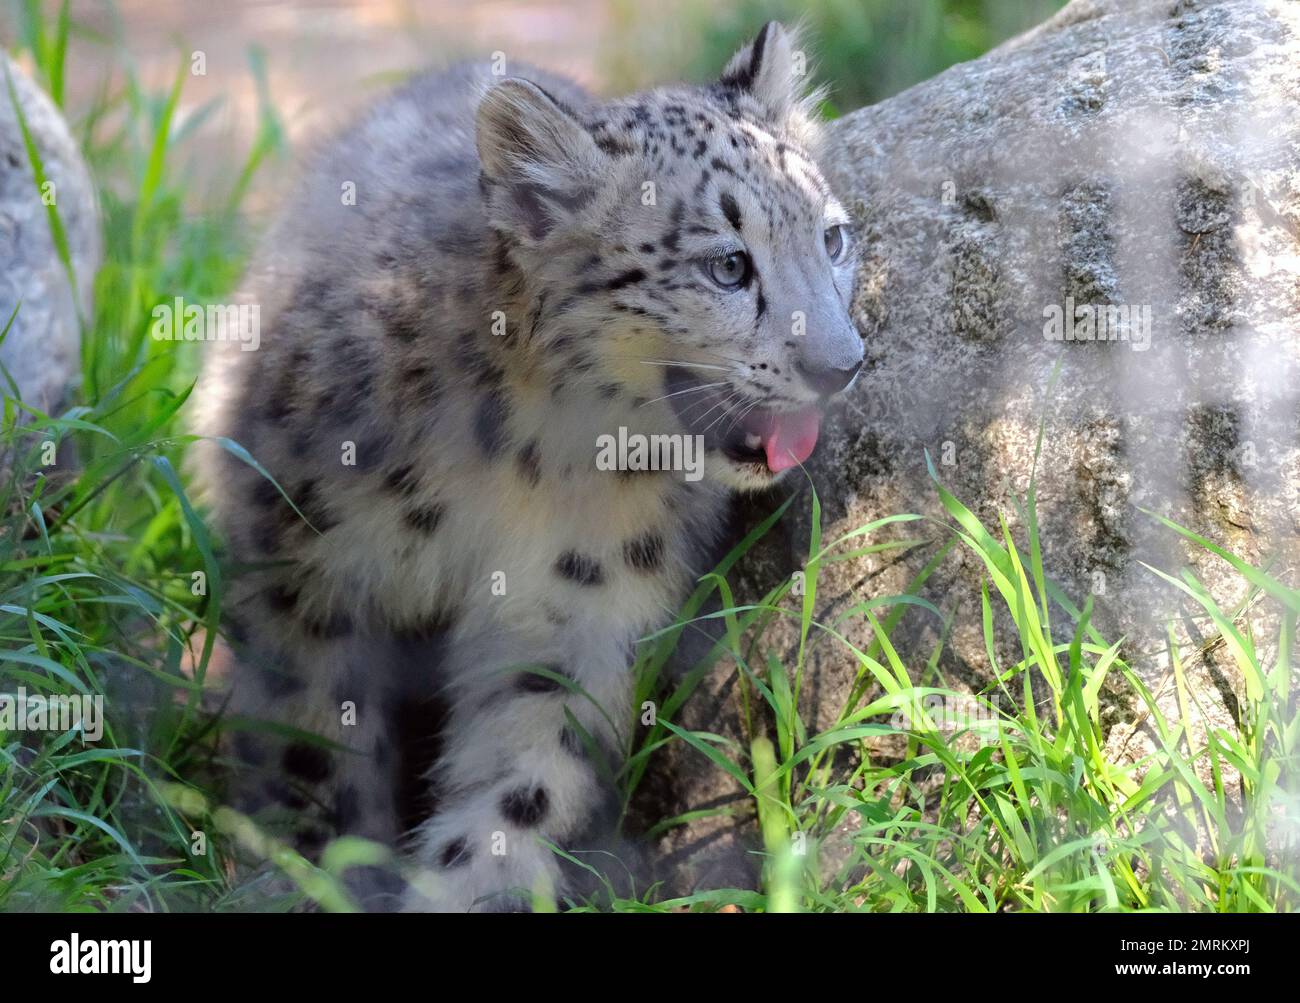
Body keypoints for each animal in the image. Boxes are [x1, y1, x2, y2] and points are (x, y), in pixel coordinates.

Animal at [193, 20, 864, 912]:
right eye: (727, 264)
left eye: (832, 237)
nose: (842, 364)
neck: (529, 458)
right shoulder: (304, 572)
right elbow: (309, 746)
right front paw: (320, 875)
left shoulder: (571, 614)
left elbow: (518, 788)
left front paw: (466, 886)